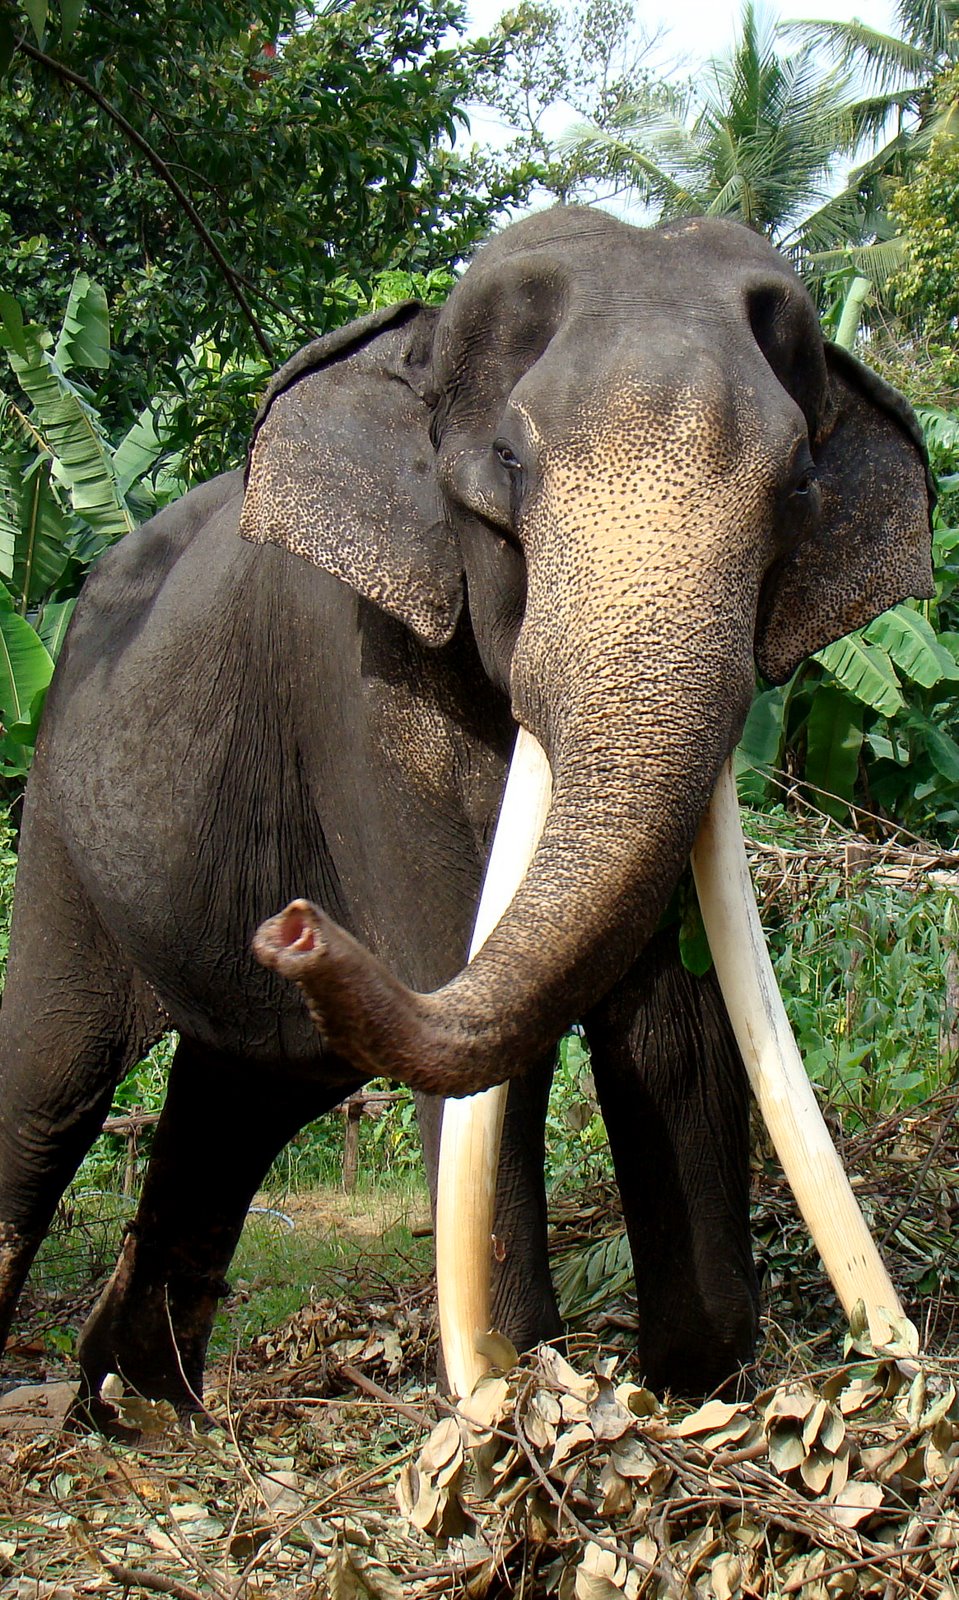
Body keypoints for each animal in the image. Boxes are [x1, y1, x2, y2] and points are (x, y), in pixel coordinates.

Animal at [0, 206, 933, 1415]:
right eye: (508, 463)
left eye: (798, 490)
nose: (294, 925)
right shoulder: (358, 680)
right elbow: (465, 982)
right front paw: (520, 1391)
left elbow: (670, 1030)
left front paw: (691, 1381)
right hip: (61, 814)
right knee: (49, 1087)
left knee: (234, 1097)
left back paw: (140, 1410)